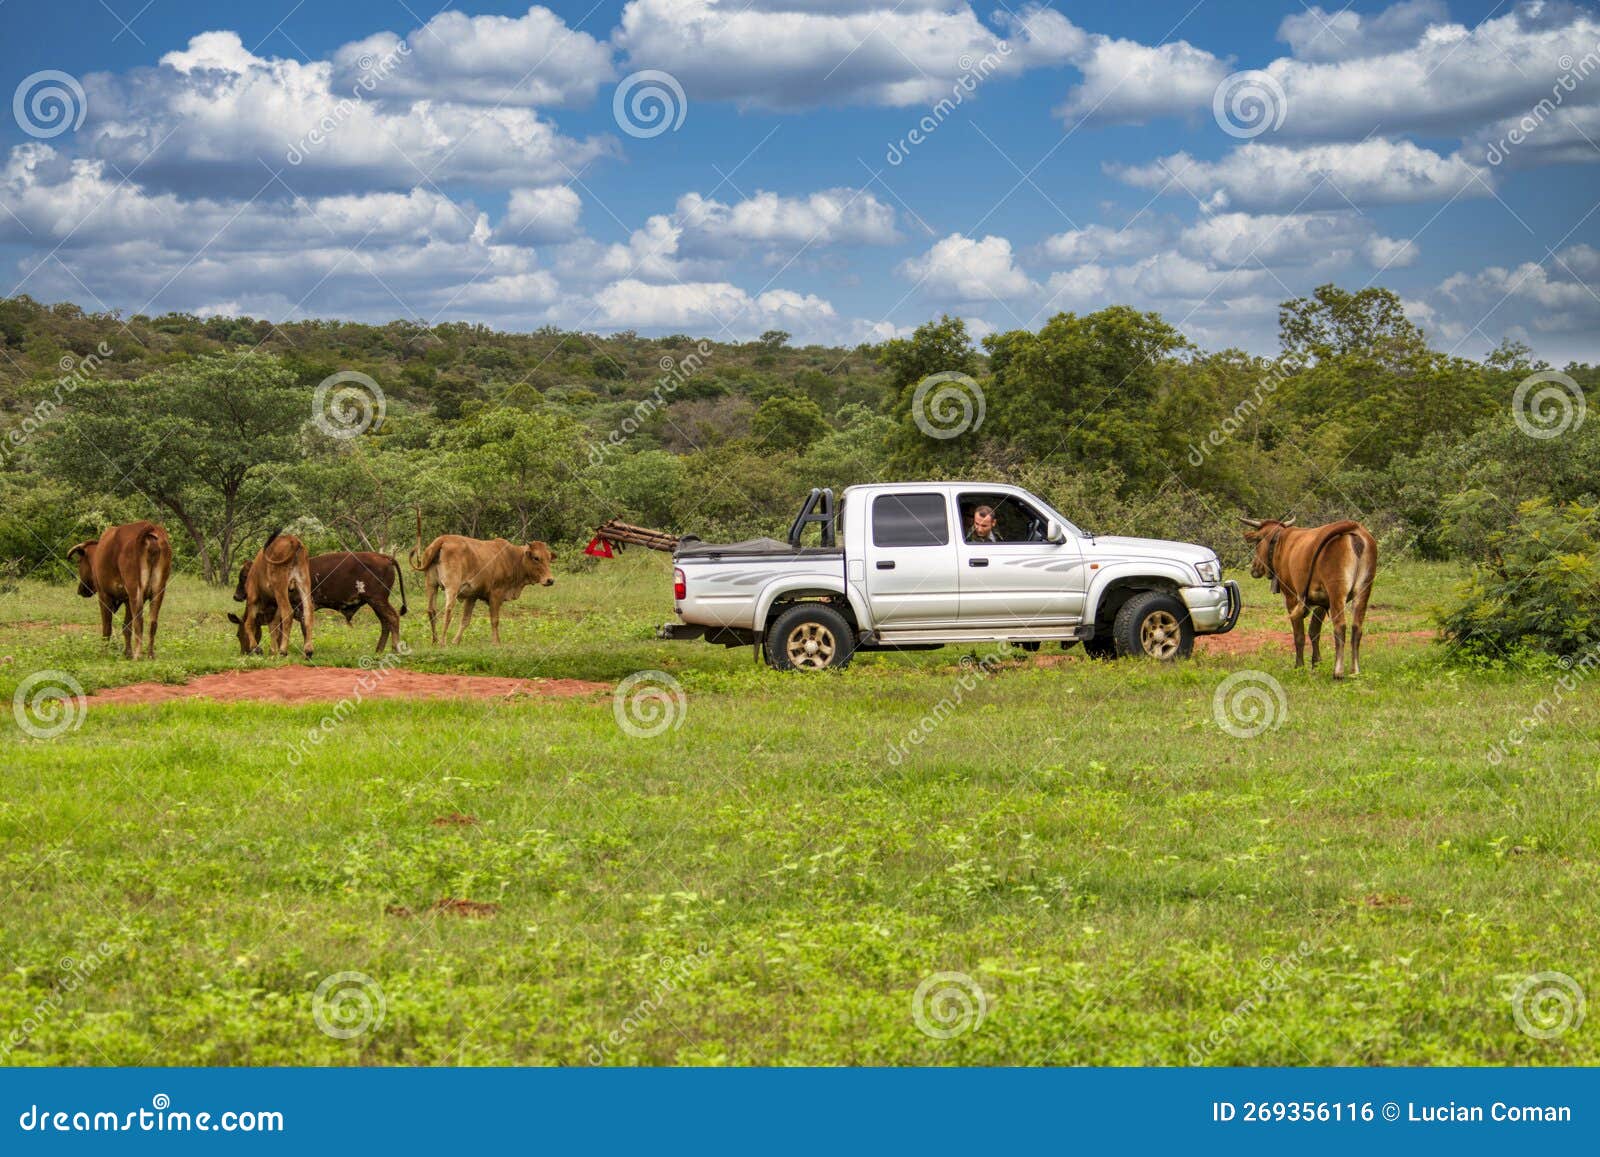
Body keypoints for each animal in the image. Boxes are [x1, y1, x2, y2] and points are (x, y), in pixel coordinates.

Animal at [67, 521, 172, 660]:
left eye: (79, 561)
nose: (80, 590)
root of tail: (149, 528)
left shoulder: (104, 595)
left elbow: (107, 627)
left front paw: (104, 653)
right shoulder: (127, 600)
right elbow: (126, 627)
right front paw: (127, 652)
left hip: (135, 591)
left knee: (139, 621)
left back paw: (137, 656)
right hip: (158, 591)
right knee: (153, 623)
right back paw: (150, 654)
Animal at [227, 551, 407, 654]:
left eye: (244, 576)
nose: (236, 596)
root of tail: (385, 557)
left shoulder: (301, 608)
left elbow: (300, 629)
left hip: (378, 599)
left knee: (393, 618)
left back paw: (396, 649)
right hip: (375, 602)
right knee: (385, 622)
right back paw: (379, 651)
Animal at [411, 511, 555, 645]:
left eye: (549, 558)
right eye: (536, 558)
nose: (550, 580)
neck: (513, 558)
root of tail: (442, 540)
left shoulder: (472, 595)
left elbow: (465, 620)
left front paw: (456, 641)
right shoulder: (496, 594)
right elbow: (495, 620)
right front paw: (496, 642)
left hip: (431, 584)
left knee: (431, 610)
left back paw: (435, 640)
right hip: (452, 586)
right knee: (448, 610)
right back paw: (442, 642)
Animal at [1240, 517, 1378, 679]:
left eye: (1257, 542)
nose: (1254, 568)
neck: (1280, 541)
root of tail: (1354, 528)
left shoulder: (1292, 597)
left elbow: (1299, 635)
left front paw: (1299, 666)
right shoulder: (1321, 602)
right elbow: (1314, 632)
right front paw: (1316, 664)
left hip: (1336, 590)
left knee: (1340, 626)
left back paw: (1338, 672)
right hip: (1364, 589)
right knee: (1356, 628)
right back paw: (1355, 671)